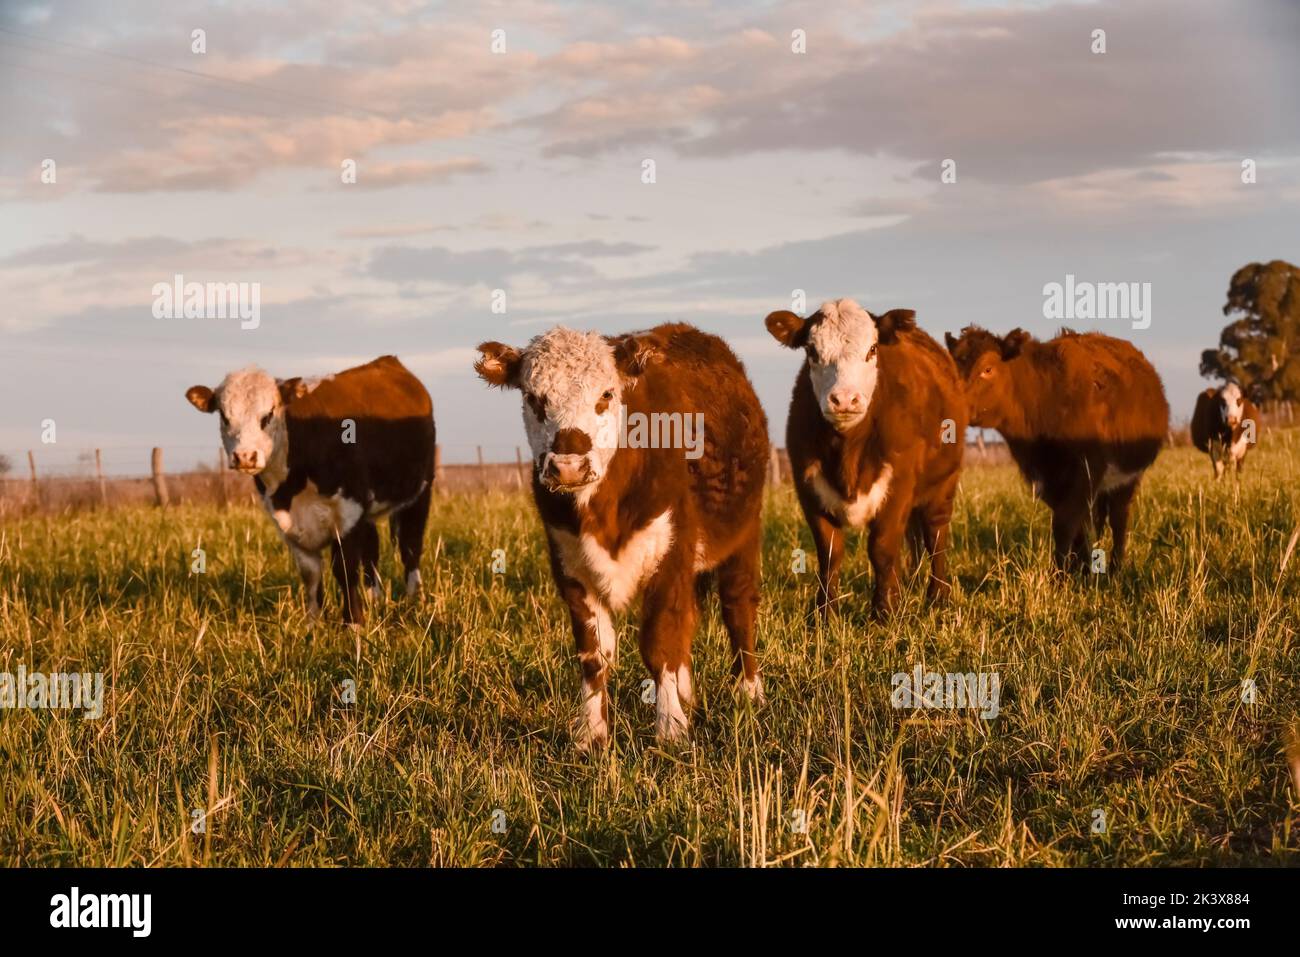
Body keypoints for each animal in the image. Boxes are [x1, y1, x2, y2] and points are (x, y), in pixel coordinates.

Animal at [185, 355, 435, 624]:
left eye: (268, 414)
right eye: (224, 416)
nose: (245, 456)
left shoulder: (348, 511)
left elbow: (345, 568)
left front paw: (353, 622)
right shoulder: (288, 522)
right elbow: (310, 572)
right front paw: (312, 623)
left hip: (420, 493)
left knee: (410, 547)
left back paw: (415, 599)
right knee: (372, 550)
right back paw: (375, 600)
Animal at [474, 323, 769, 750]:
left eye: (607, 394)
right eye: (533, 397)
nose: (568, 466)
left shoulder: (671, 555)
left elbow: (659, 643)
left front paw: (670, 729)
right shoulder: (569, 566)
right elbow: (594, 654)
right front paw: (591, 734)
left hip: (742, 536)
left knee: (738, 610)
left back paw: (749, 692)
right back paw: (687, 695)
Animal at [765, 299, 967, 619]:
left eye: (872, 349)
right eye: (812, 351)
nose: (845, 399)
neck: (848, 451)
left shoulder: (898, 485)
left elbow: (882, 548)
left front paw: (884, 612)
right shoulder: (808, 489)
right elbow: (830, 552)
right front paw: (824, 614)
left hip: (944, 484)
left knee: (935, 537)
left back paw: (937, 597)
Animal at [944, 326, 1168, 574]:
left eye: (987, 369)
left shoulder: (1087, 470)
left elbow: (1065, 524)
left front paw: (1060, 575)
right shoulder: (1046, 478)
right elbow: (1076, 526)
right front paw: (1077, 569)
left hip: (1127, 477)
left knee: (1118, 518)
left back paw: (1115, 569)